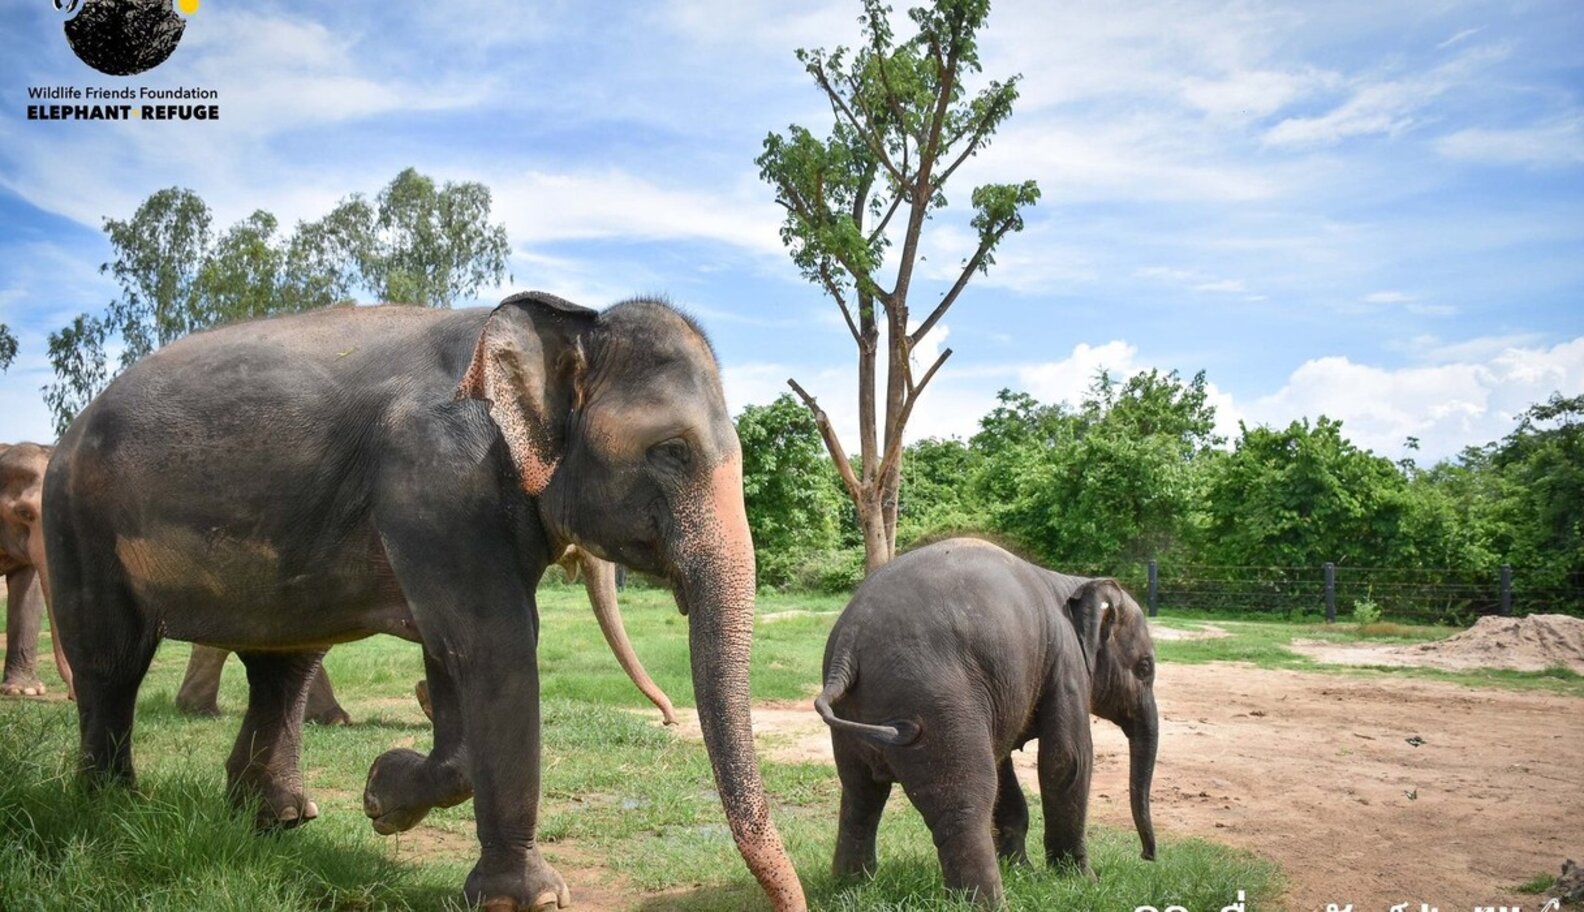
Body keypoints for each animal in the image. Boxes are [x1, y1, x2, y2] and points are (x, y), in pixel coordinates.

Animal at [814, 538, 1157, 907]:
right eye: (1146, 668)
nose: (1147, 856)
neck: (1070, 583)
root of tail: (850, 643)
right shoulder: (1065, 662)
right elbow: (1068, 760)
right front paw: (1082, 881)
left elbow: (1004, 760)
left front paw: (1022, 871)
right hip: (938, 701)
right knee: (966, 799)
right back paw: (985, 904)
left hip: (856, 717)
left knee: (861, 795)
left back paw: (850, 890)